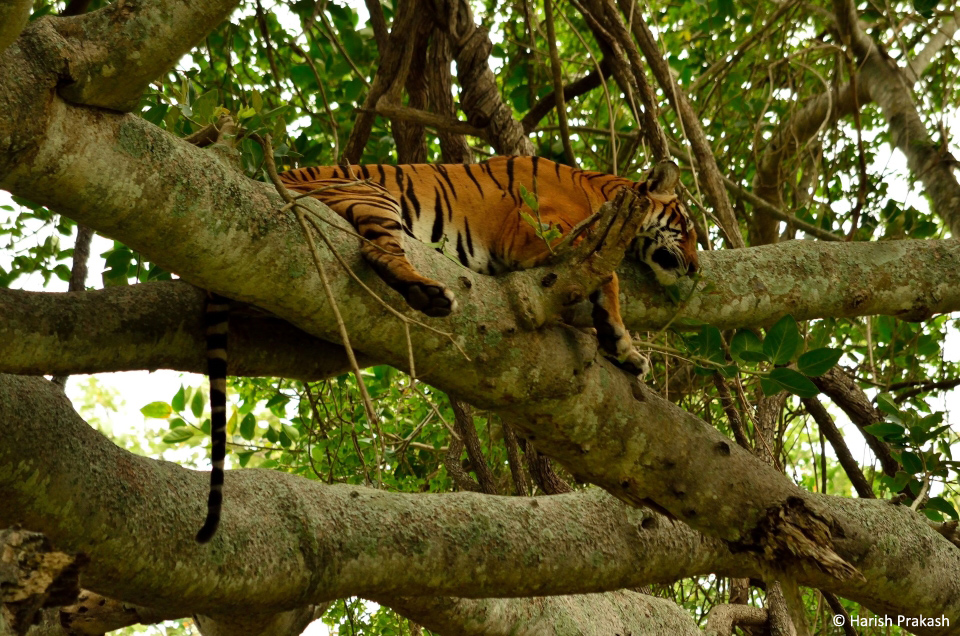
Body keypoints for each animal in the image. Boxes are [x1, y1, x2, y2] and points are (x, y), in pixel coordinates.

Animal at [195, 155, 698, 543]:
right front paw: (622, 345)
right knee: (378, 253)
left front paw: (617, 347)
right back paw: (432, 296)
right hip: (370, 194)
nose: (694, 268)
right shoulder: (538, 234)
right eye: (689, 228)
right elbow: (607, 279)